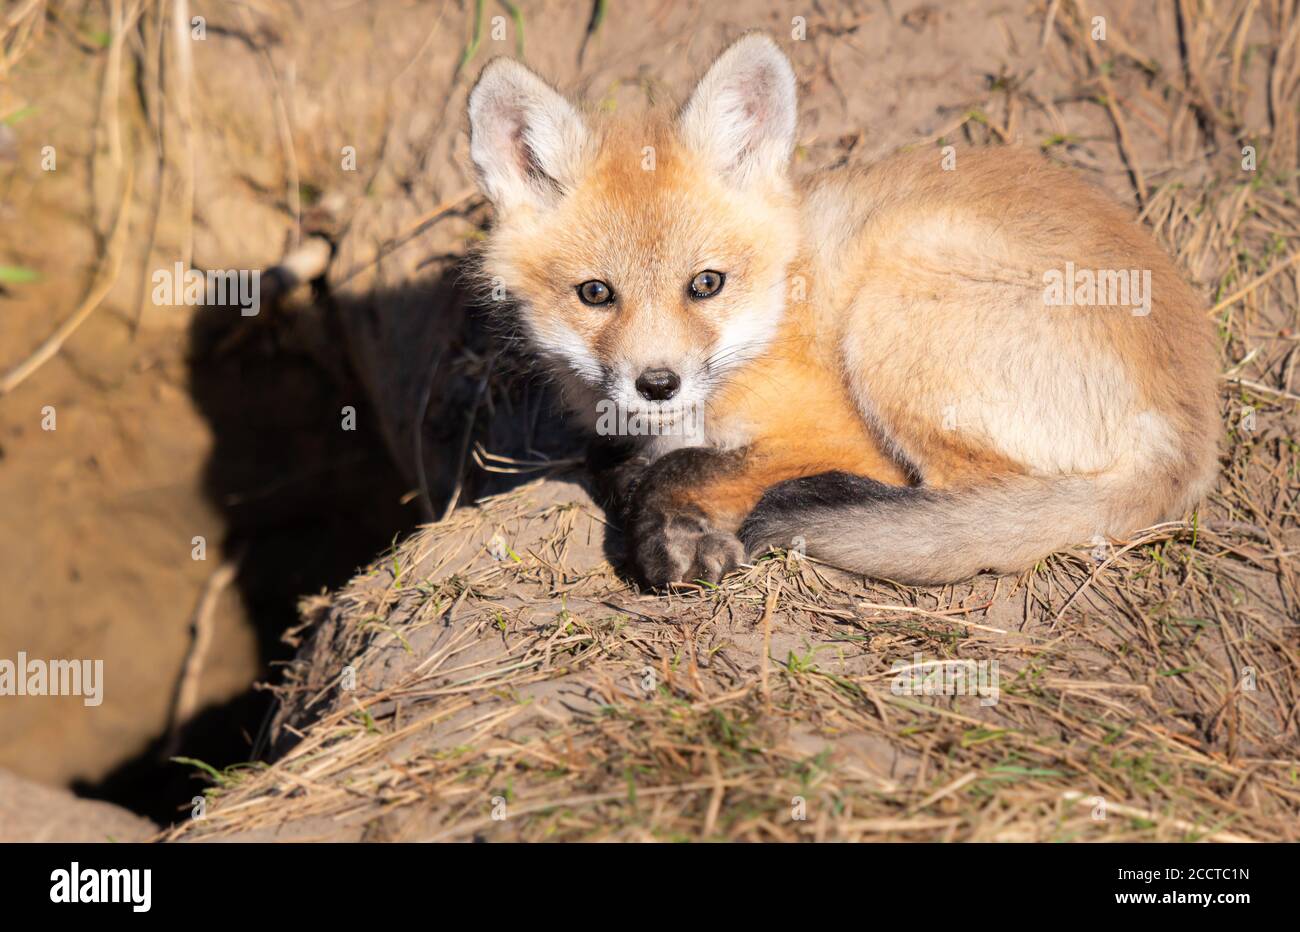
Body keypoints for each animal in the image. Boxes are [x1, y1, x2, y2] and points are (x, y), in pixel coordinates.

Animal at [465, 33, 1220, 588]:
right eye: (596, 294)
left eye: (705, 283)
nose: (658, 385)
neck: (775, 314)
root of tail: (1192, 424)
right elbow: (628, 467)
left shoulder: (832, 430)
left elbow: (685, 469)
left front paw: (677, 531)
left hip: (892, 314)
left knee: (961, 496)